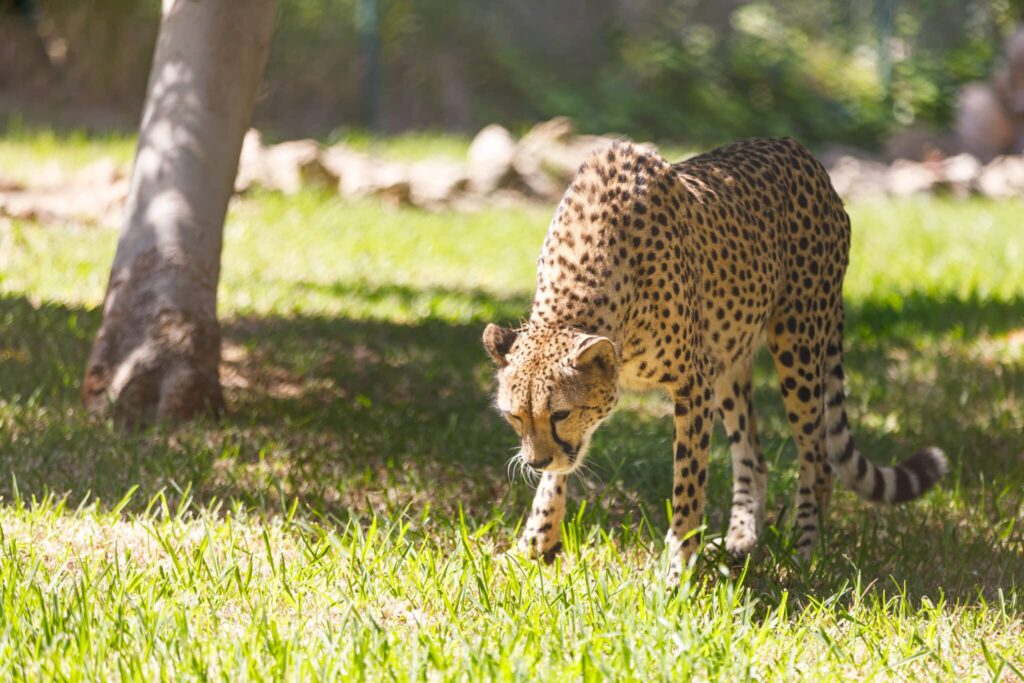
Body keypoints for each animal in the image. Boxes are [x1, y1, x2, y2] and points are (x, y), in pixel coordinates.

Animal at [482, 137, 947, 582]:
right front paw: (533, 545)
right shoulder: (683, 378)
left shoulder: (692, 382)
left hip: (797, 342)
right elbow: (560, 475)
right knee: (754, 459)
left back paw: (803, 553)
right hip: (729, 362)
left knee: (818, 460)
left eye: (560, 413)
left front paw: (677, 572)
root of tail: (800, 151)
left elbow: (688, 485)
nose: (535, 460)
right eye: (515, 417)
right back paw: (741, 539)